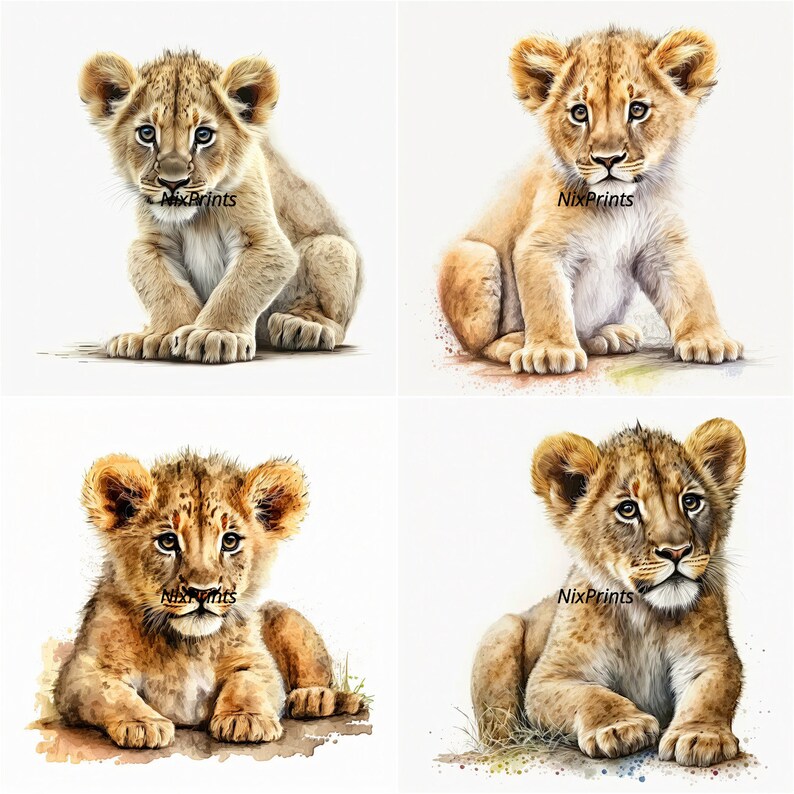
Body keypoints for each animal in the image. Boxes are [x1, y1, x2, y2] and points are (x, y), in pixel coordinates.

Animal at [54, 451, 364, 748]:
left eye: (230, 541)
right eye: (168, 541)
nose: (202, 591)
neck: (188, 643)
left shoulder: (257, 661)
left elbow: (248, 683)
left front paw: (246, 719)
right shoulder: (83, 671)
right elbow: (113, 695)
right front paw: (141, 724)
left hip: (287, 618)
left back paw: (313, 698)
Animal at [78, 50, 361, 364]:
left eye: (203, 135)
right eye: (146, 133)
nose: (173, 182)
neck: (198, 218)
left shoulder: (266, 242)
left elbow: (237, 288)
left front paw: (215, 334)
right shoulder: (151, 244)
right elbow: (164, 288)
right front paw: (163, 334)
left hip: (332, 247)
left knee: (335, 322)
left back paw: (303, 326)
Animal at [438, 27, 742, 374]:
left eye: (637, 109)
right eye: (580, 112)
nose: (607, 159)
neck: (618, 207)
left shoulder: (665, 246)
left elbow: (691, 290)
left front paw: (708, 339)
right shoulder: (539, 247)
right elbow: (548, 302)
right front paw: (550, 351)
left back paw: (609, 335)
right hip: (476, 255)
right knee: (479, 345)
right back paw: (514, 343)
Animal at [471, 419, 746, 767]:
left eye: (691, 502)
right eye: (627, 509)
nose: (677, 551)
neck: (644, 614)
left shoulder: (711, 656)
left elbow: (711, 691)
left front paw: (699, 735)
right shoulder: (551, 676)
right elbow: (589, 694)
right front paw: (619, 727)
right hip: (502, 632)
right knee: (499, 731)